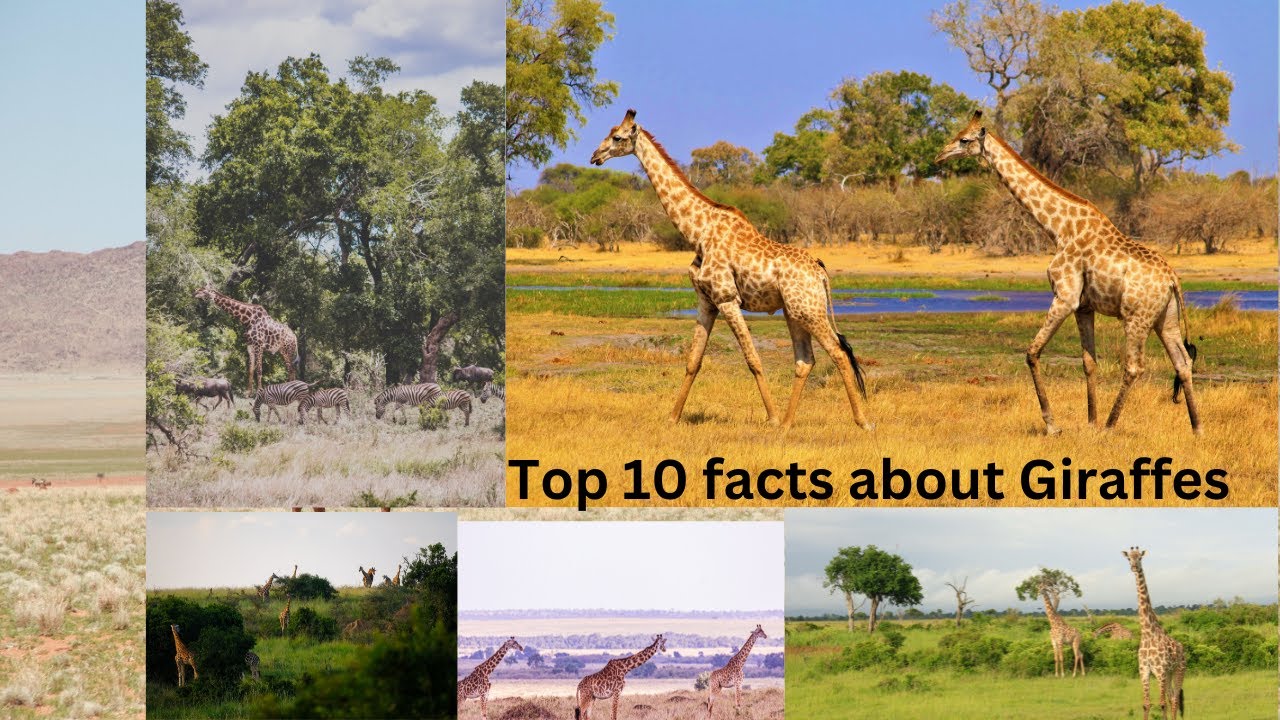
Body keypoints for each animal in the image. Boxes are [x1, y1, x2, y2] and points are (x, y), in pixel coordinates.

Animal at [591, 110, 871, 431]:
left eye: (617, 137)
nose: (595, 156)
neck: (698, 232)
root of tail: (821, 272)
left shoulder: (727, 299)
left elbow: (753, 359)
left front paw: (771, 417)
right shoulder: (706, 301)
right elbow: (693, 361)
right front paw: (672, 417)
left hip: (809, 311)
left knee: (838, 352)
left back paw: (861, 422)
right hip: (795, 311)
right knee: (805, 360)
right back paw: (788, 424)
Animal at [936, 111, 1200, 435]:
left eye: (964, 139)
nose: (939, 155)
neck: (1059, 229)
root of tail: (1173, 280)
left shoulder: (1065, 297)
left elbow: (1032, 352)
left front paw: (1053, 425)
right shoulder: (1084, 306)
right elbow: (1089, 362)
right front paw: (1089, 421)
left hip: (1137, 318)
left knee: (1135, 366)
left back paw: (1110, 427)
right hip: (1166, 318)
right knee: (1182, 362)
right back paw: (1197, 428)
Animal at [1123, 547, 1186, 719]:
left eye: (1140, 558)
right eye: (1129, 558)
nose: (1134, 567)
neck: (1147, 633)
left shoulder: (1160, 670)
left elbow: (1161, 703)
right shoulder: (1144, 670)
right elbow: (1146, 704)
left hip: (1179, 670)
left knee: (1174, 698)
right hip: (1169, 673)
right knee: (1171, 697)